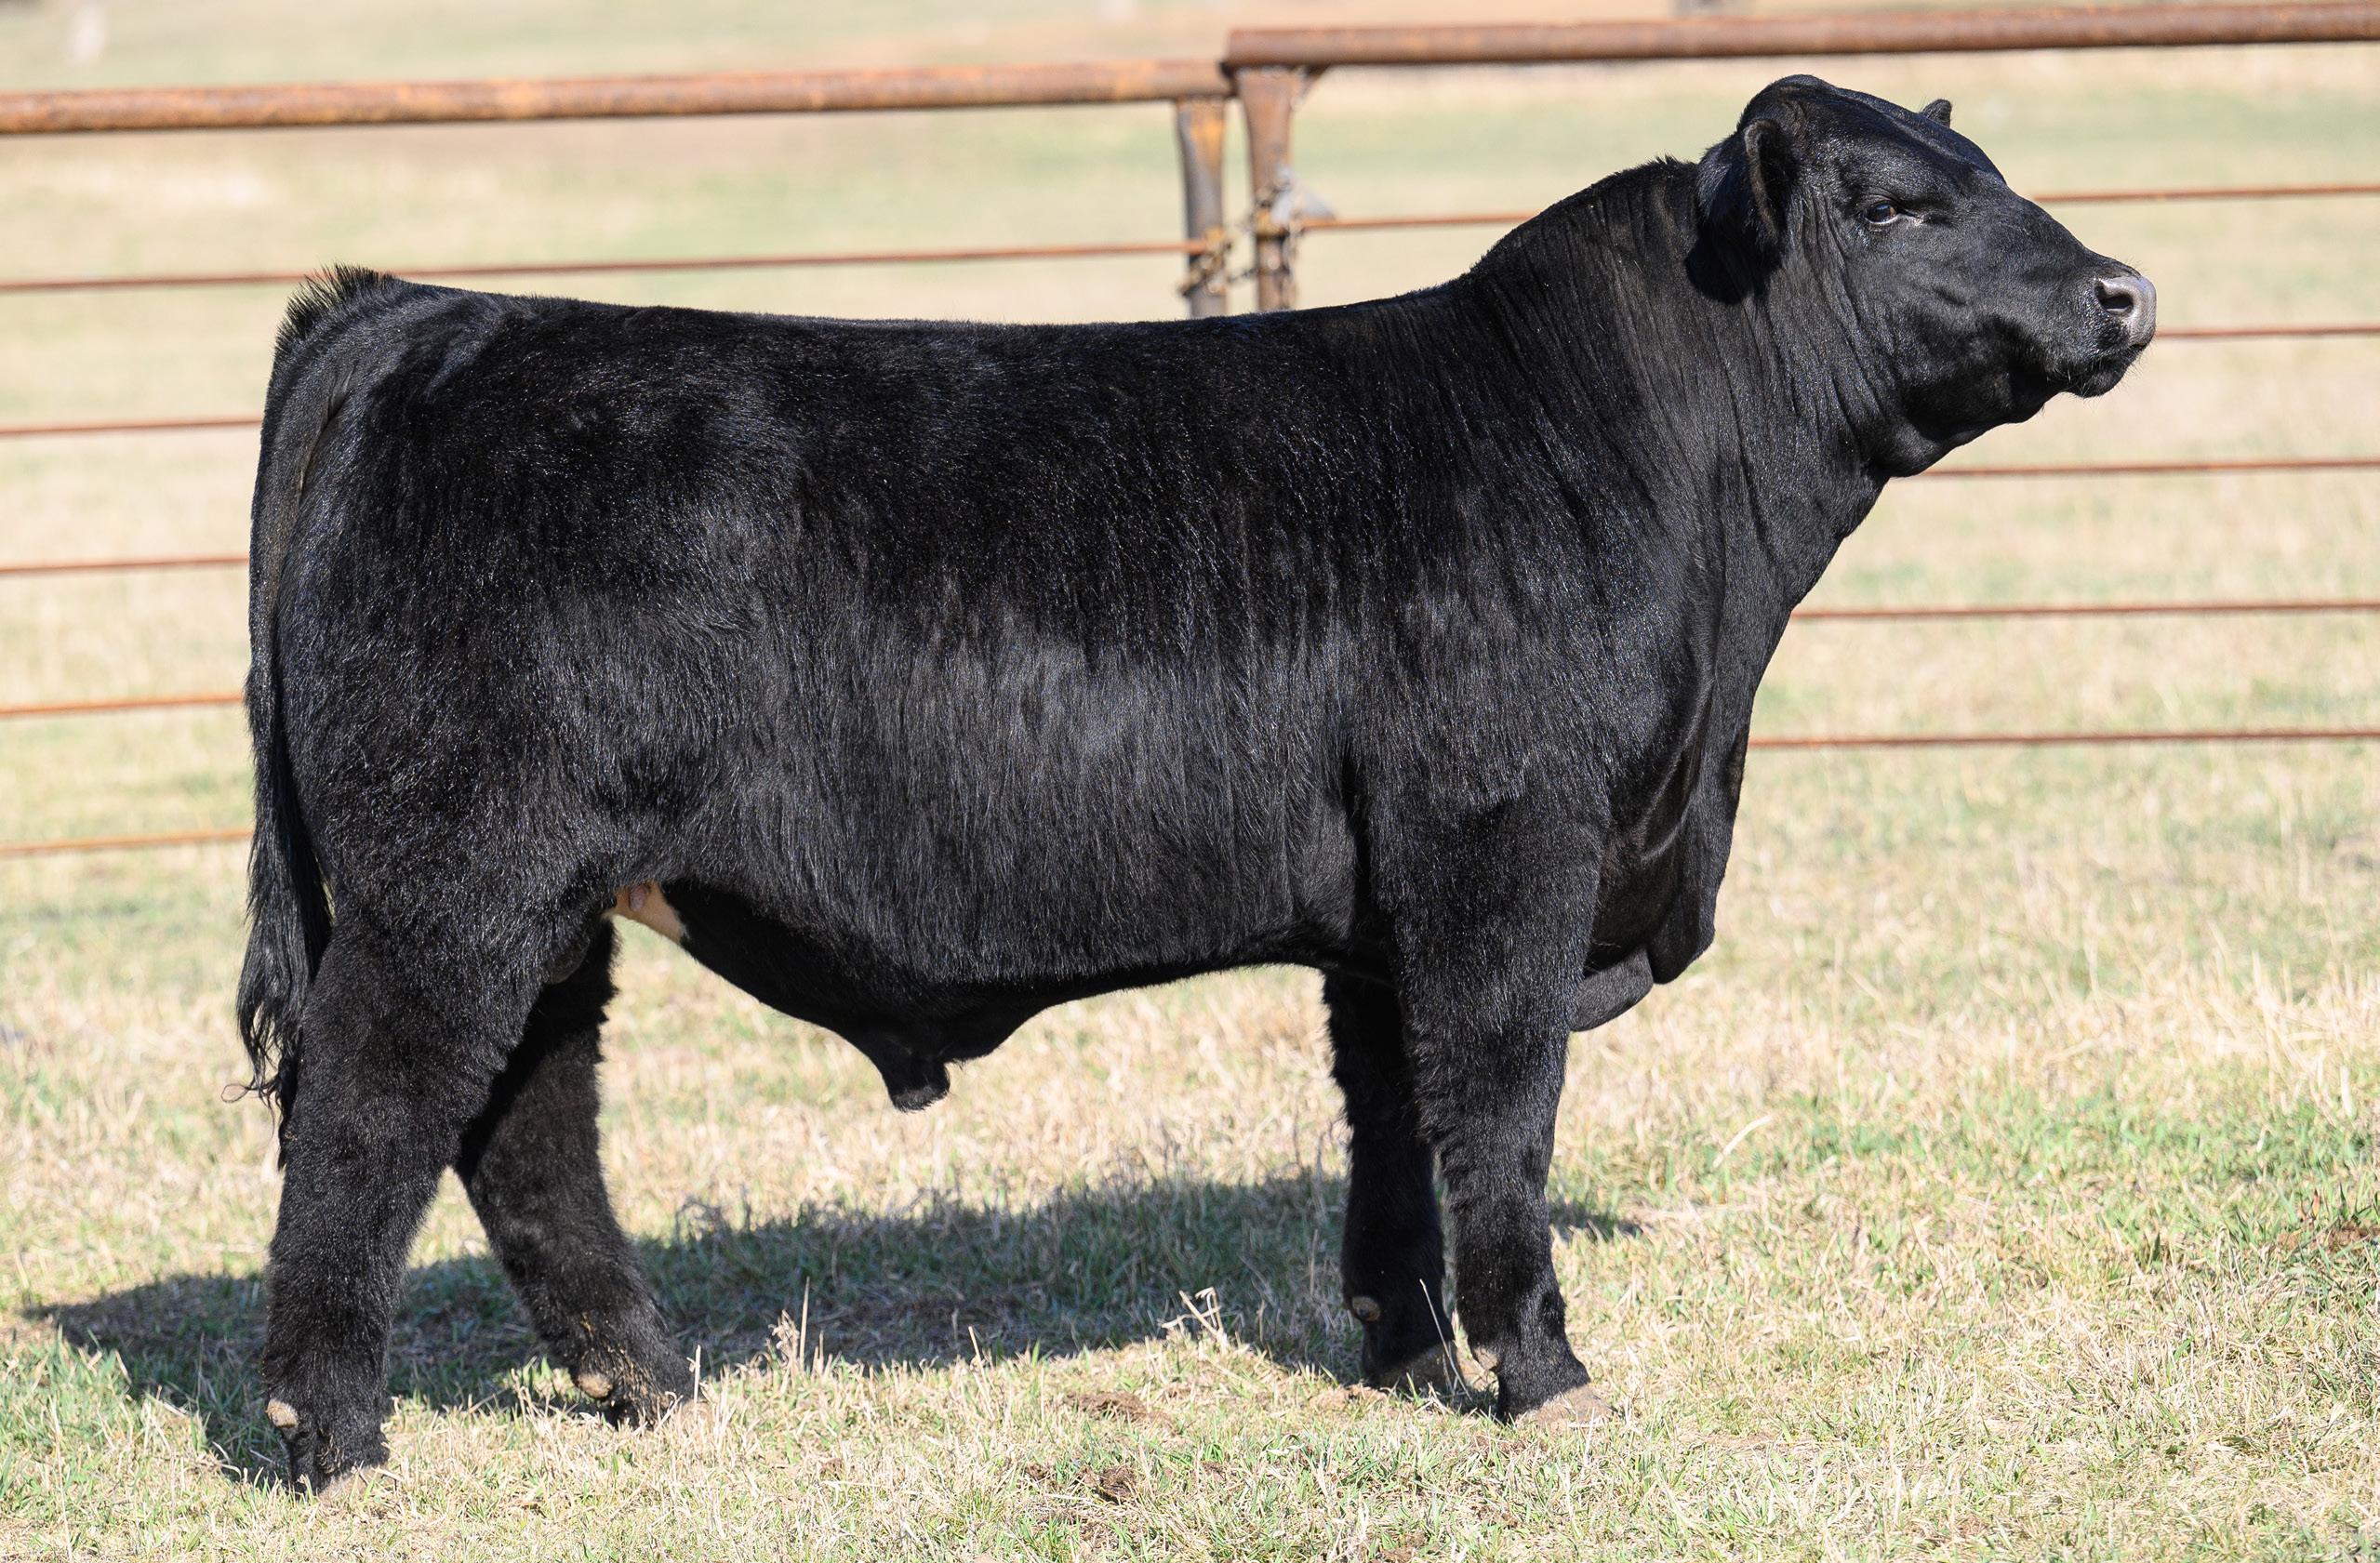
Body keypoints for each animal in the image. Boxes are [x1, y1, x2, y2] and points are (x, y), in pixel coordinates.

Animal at [235, 76, 2154, 1489]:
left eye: (1990, 169)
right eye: (1894, 205)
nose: (2120, 289)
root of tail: (424, 317)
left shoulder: (1387, 907)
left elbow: (1391, 1119)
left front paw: (1401, 1345)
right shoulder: (1500, 854)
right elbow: (1498, 1105)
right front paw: (1538, 1367)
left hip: (547, 904)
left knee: (527, 1123)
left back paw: (646, 1385)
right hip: (458, 882)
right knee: (373, 1112)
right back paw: (332, 1434)